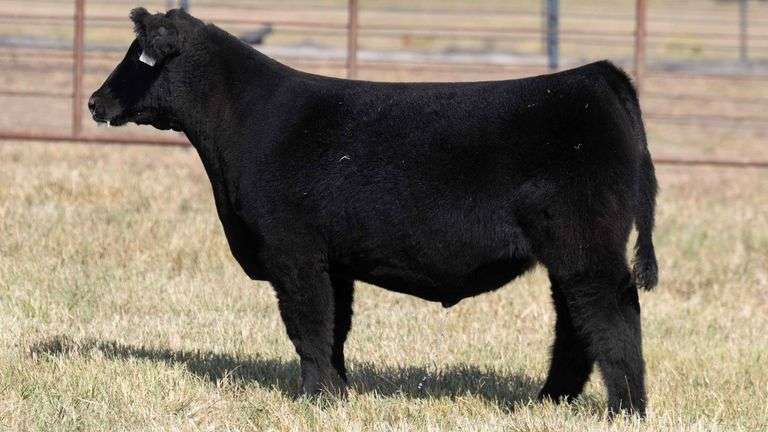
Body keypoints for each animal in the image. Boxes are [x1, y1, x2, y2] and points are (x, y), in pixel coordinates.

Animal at [89, 7, 659, 417]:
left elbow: (307, 325)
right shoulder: (332, 260)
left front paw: (312, 398)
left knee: (611, 316)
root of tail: (598, 76)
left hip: (585, 248)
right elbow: (334, 328)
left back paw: (625, 409)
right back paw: (548, 402)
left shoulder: (293, 252)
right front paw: (337, 394)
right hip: (569, 255)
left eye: (139, 57)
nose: (95, 101)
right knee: (576, 324)